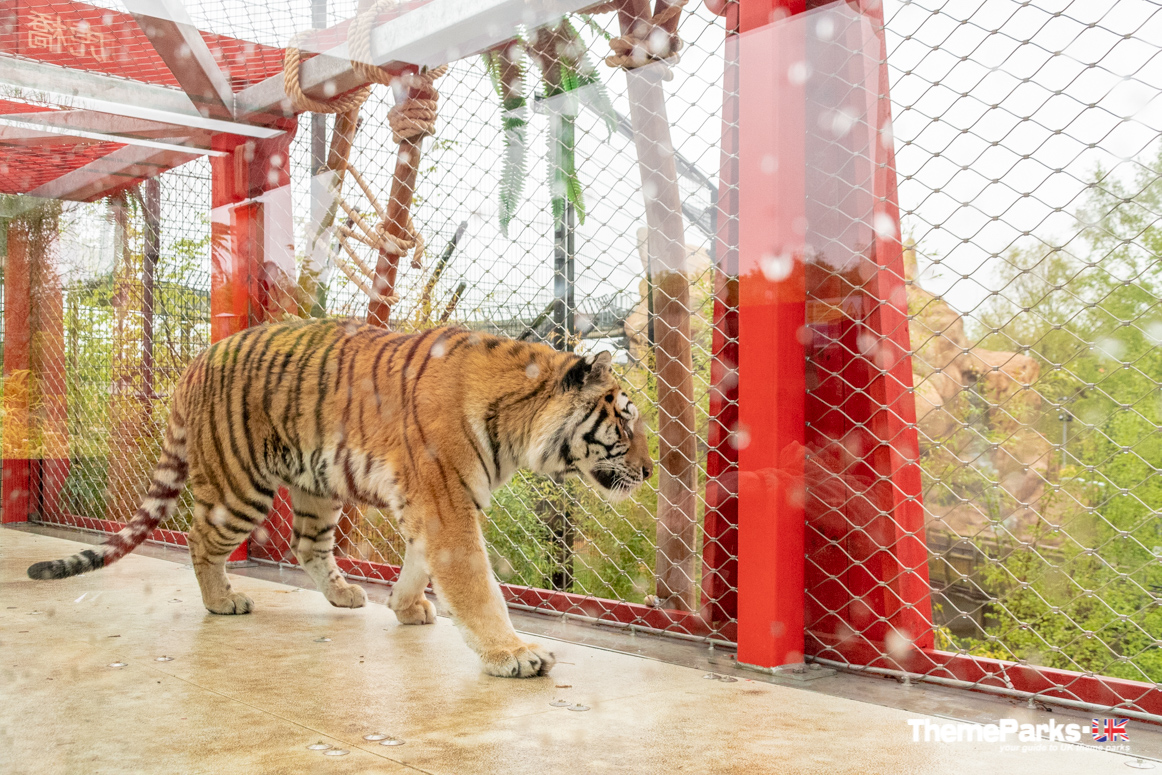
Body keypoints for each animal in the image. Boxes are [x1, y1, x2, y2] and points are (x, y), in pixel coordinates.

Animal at [27, 319, 652, 678]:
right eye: (625, 422)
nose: (649, 471)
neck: (519, 422)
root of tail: (196, 361)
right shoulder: (446, 504)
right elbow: (477, 587)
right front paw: (515, 654)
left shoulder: (438, 502)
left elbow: (419, 564)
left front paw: (405, 606)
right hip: (240, 487)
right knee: (202, 541)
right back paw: (222, 601)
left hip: (315, 485)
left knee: (307, 545)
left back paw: (345, 595)